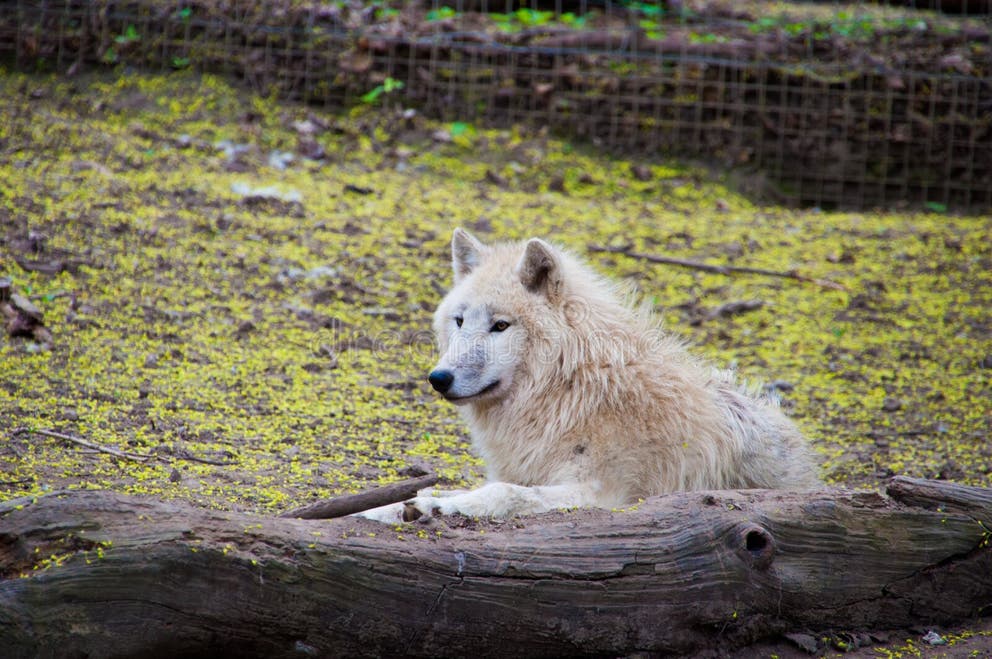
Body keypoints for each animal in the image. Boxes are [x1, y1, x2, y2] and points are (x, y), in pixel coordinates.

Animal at [359, 229, 818, 522]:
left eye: (500, 326)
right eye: (459, 321)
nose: (439, 378)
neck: (568, 388)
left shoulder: (601, 493)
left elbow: (502, 493)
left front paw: (439, 509)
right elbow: (437, 488)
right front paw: (384, 508)